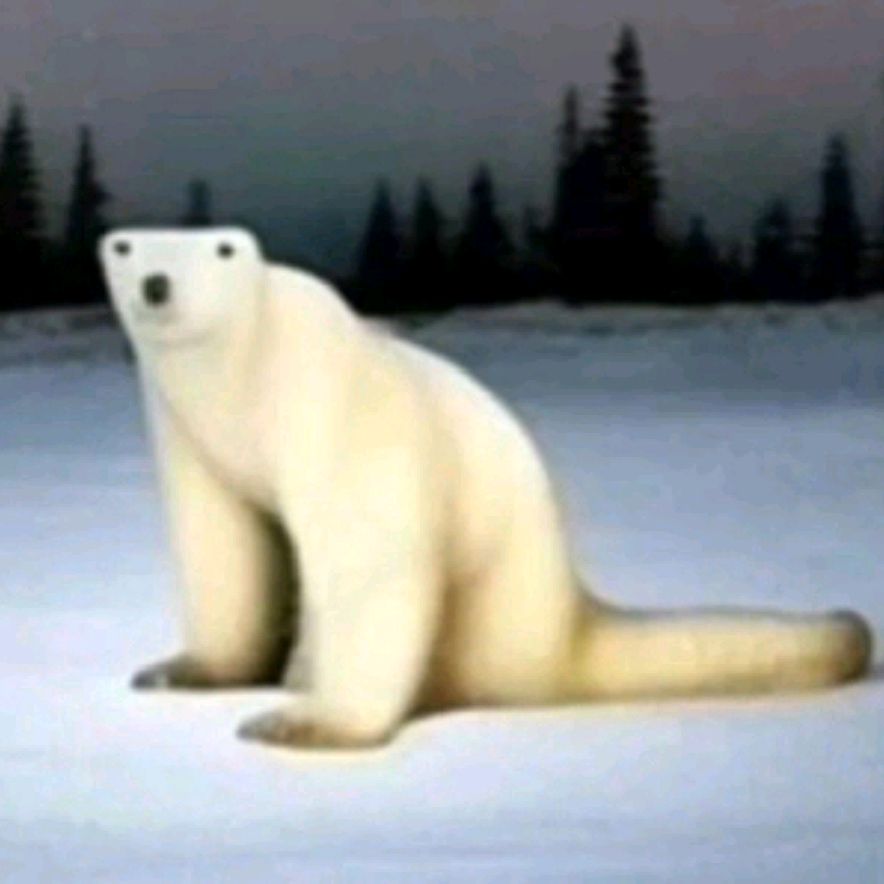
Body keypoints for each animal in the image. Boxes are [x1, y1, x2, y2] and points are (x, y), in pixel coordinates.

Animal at [99, 227, 873, 750]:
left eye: (219, 250)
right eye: (126, 247)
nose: (157, 285)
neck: (241, 377)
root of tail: (566, 621)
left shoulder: (330, 399)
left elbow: (371, 554)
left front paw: (301, 720)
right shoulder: (189, 434)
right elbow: (226, 541)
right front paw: (179, 670)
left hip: (487, 616)